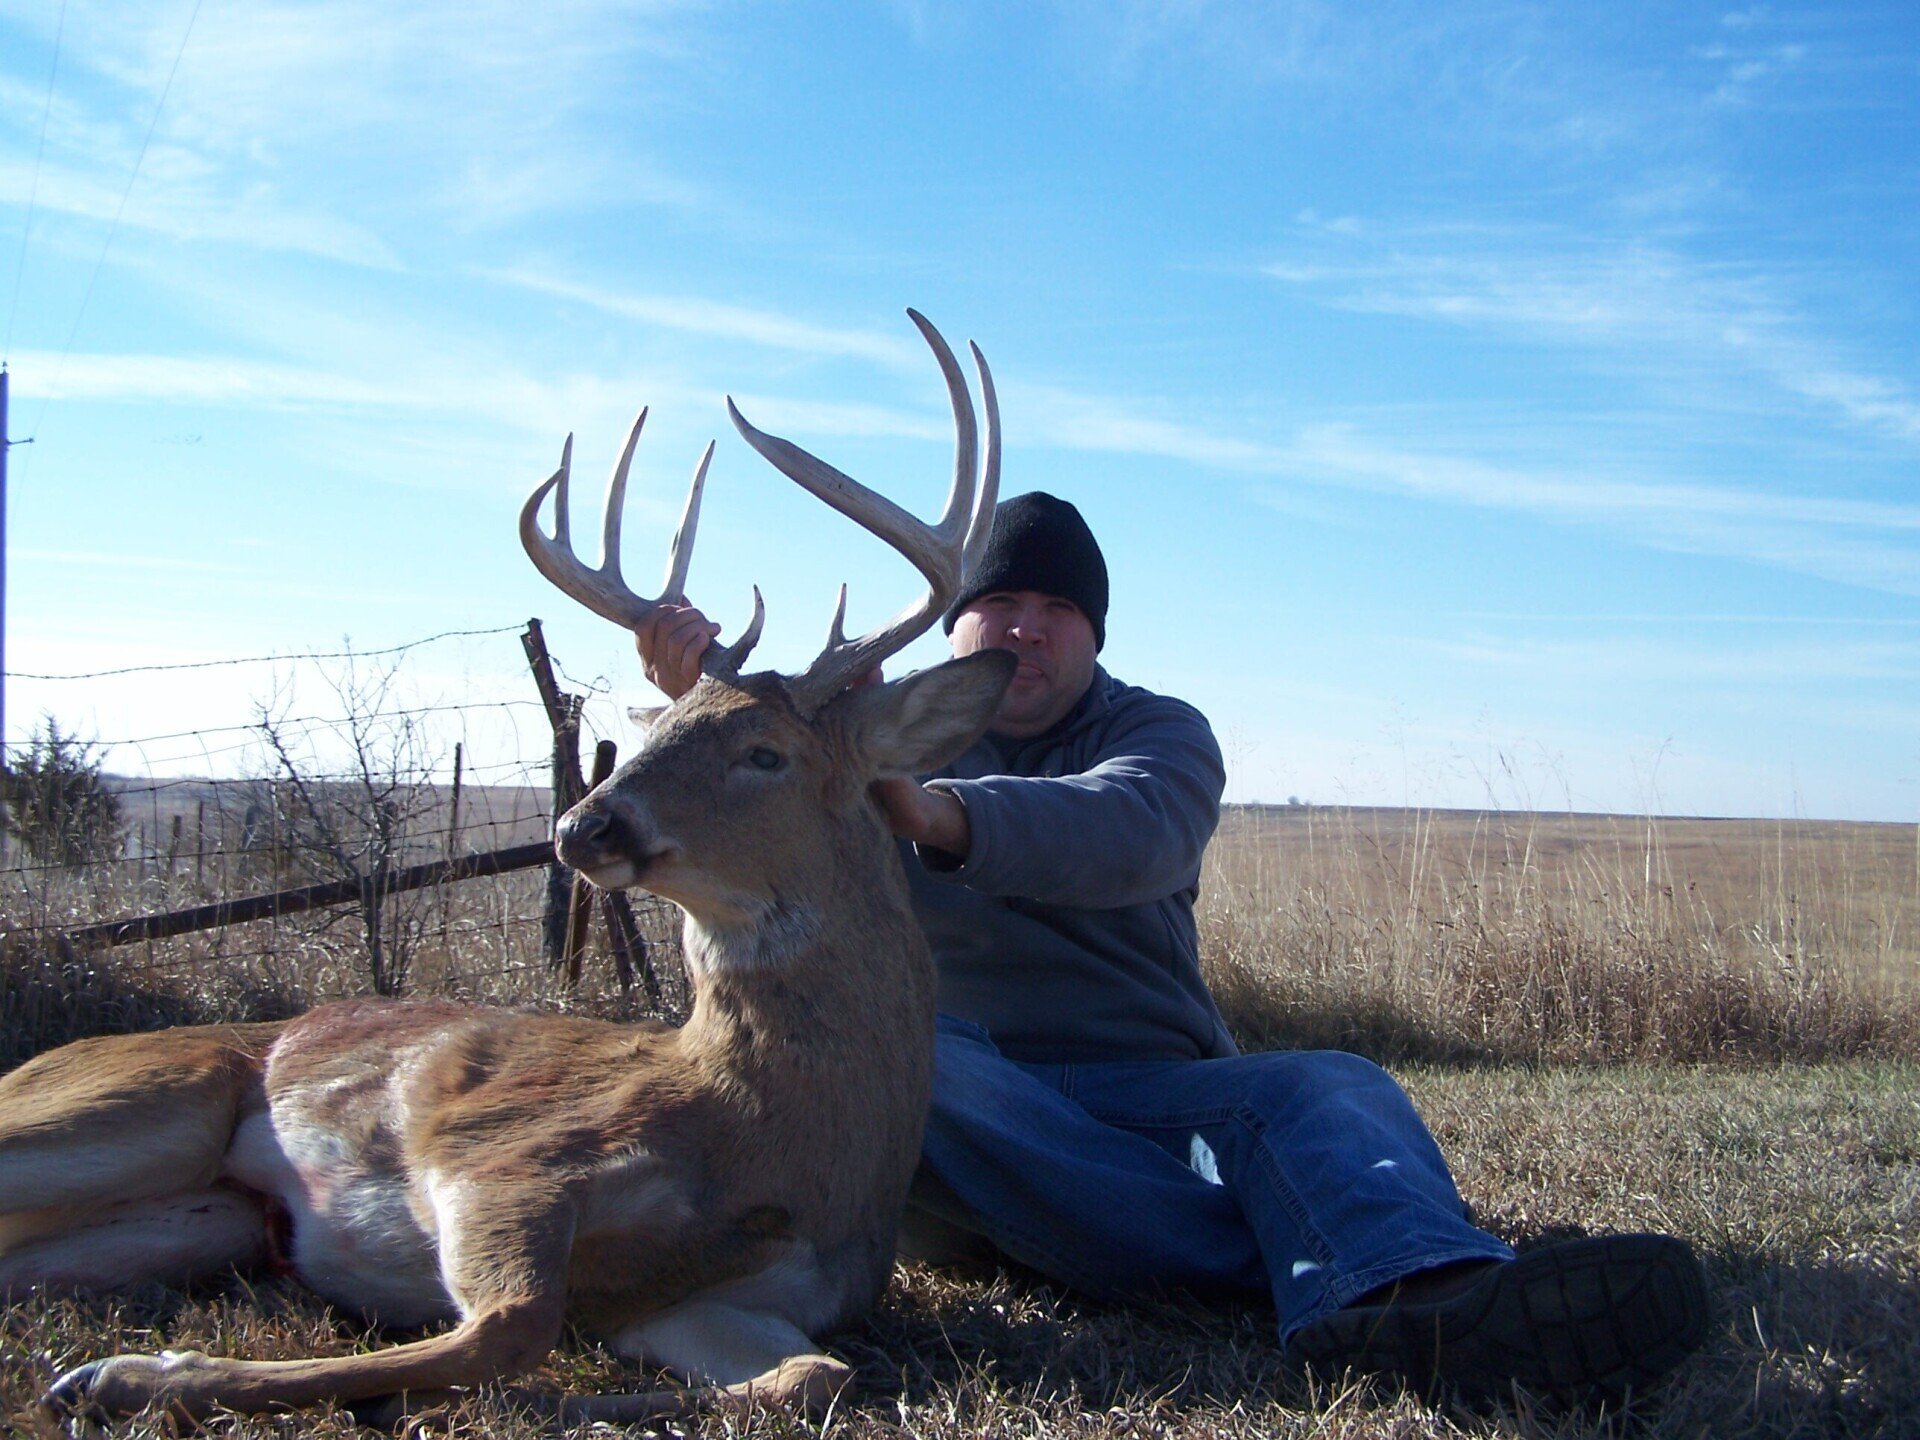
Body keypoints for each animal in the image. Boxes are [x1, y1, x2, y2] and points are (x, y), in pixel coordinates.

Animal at [0, 310, 1016, 1425]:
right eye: (662, 726)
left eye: (765, 753)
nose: (583, 825)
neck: (772, 1133)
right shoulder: (502, 1153)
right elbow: (510, 1326)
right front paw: (133, 1372)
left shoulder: (717, 1298)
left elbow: (808, 1378)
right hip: (143, 1101)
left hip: (182, 1217)